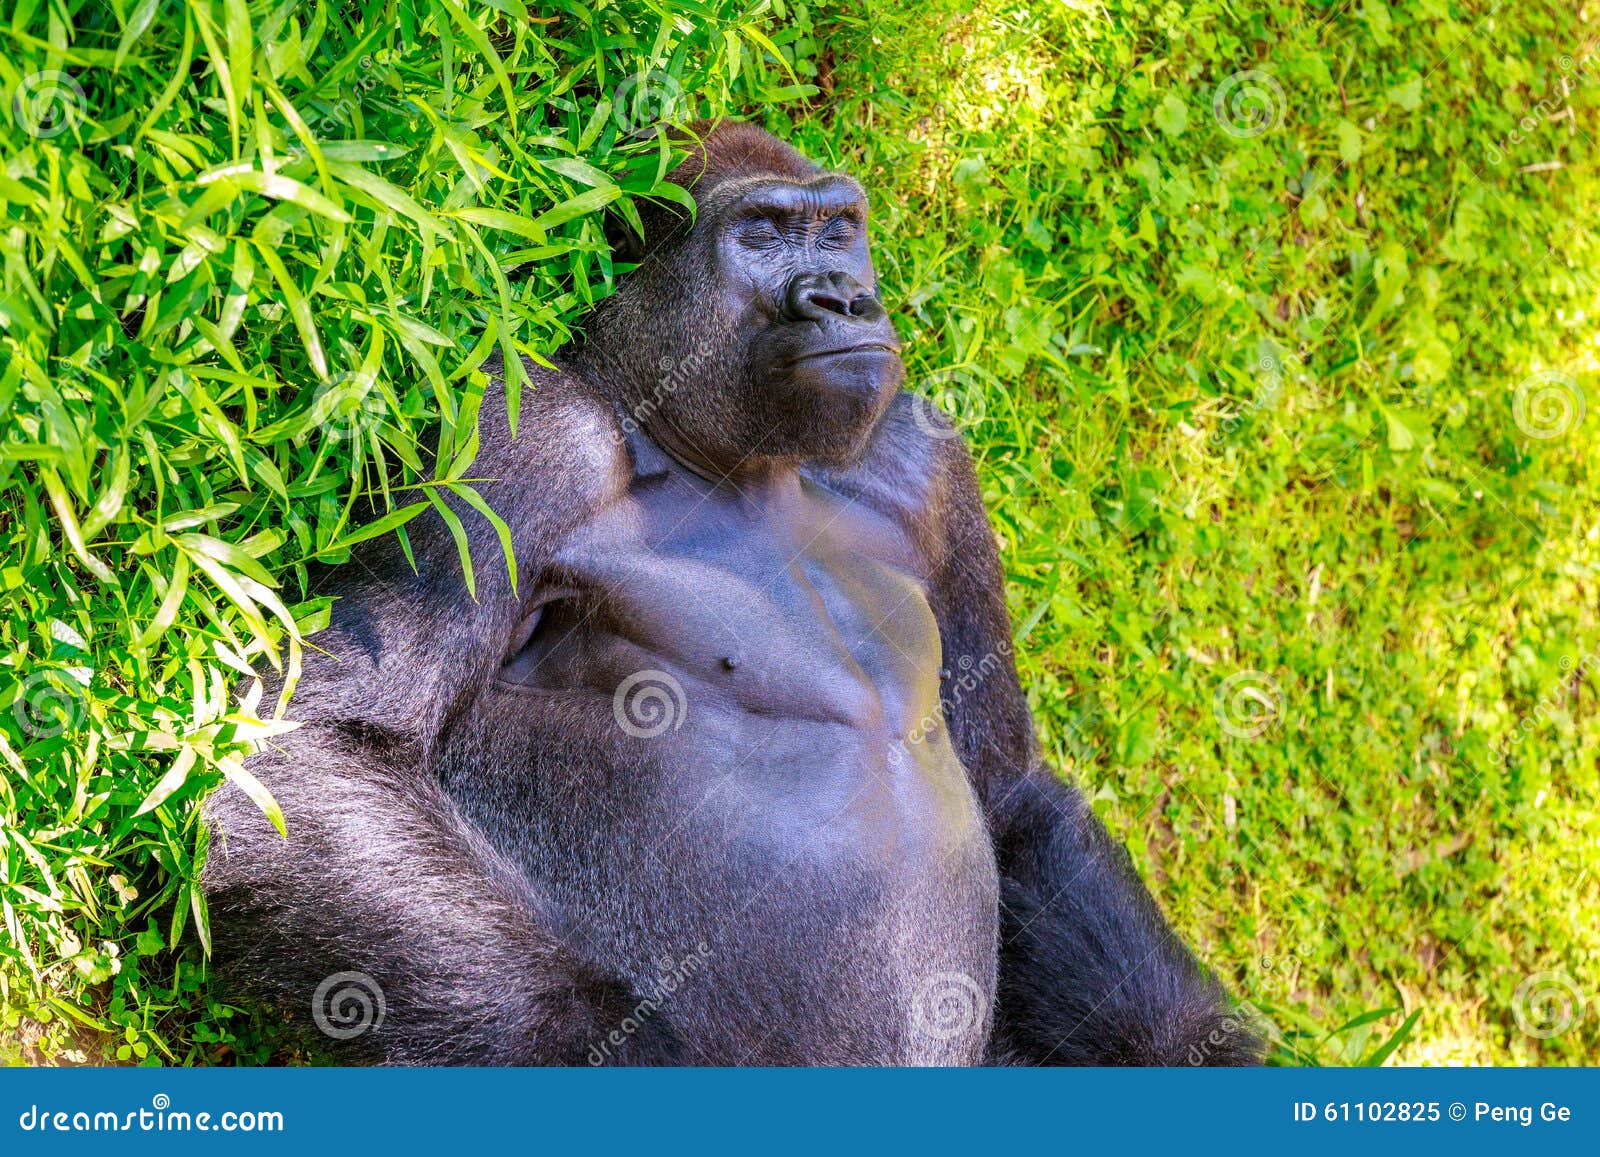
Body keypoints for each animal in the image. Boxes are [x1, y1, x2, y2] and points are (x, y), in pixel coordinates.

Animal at [203, 121, 1261, 1066]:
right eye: (759, 233)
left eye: (837, 229)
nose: (842, 296)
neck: (735, 459)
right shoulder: (522, 432)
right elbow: (313, 739)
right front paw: (619, 1057)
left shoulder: (926, 460)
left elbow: (1006, 784)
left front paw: (1191, 1049)